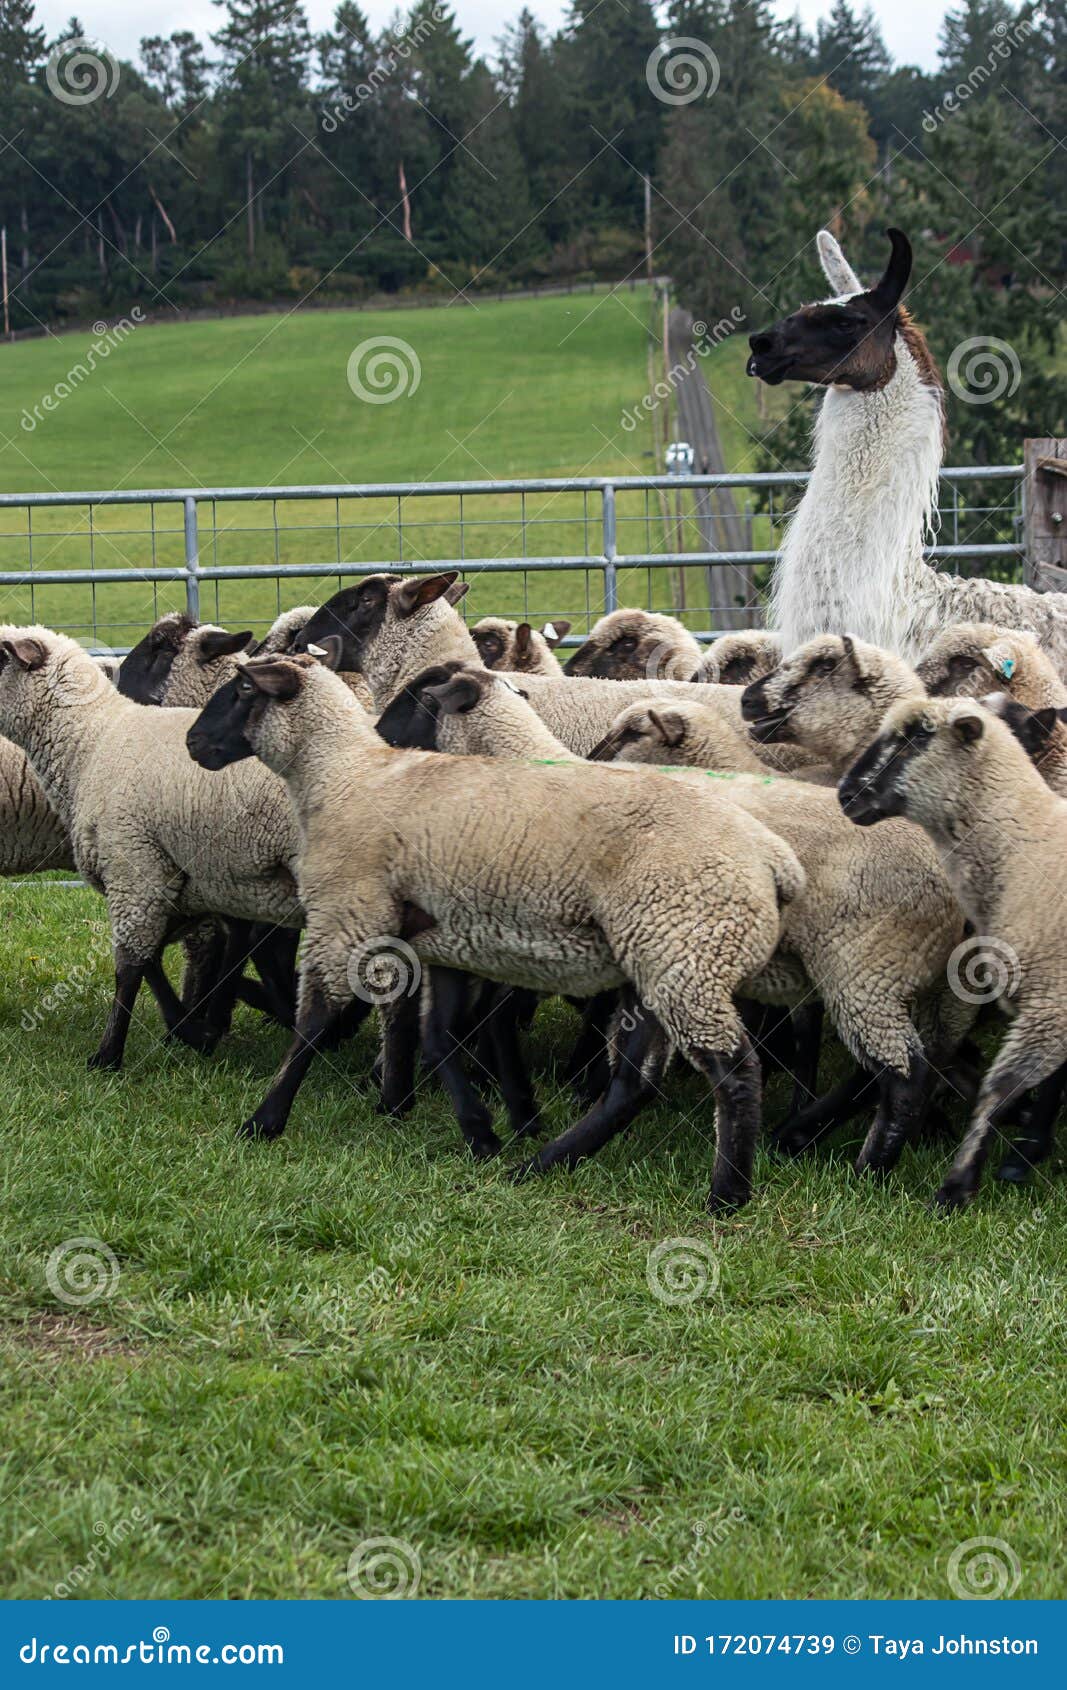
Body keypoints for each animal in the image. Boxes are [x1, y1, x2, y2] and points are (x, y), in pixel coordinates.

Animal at [0, 628, 305, 1071]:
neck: (91, 743)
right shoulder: (163, 877)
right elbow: (153, 958)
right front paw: (192, 1029)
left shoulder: (135, 867)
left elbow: (131, 966)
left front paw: (109, 1055)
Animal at [186, 643, 807, 1211]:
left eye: (243, 690)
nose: (193, 744)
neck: (343, 778)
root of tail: (774, 859)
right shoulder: (443, 939)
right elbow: (438, 1036)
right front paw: (481, 1132)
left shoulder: (347, 912)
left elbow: (313, 1021)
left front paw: (265, 1120)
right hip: (662, 961)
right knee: (635, 1083)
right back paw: (543, 1163)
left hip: (687, 956)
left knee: (734, 1071)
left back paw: (727, 1194)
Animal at [585, 692, 971, 1173]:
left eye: (632, 733)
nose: (587, 761)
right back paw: (801, 1133)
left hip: (865, 969)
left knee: (904, 1073)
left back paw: (866, 1168)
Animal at [840, 695, 1067, 1206]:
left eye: (916, 739)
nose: (845, 795)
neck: (1026, 850)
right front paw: (1026, 1151)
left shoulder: (1053, 1004)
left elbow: (998, 1089)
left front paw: (956, 1188)